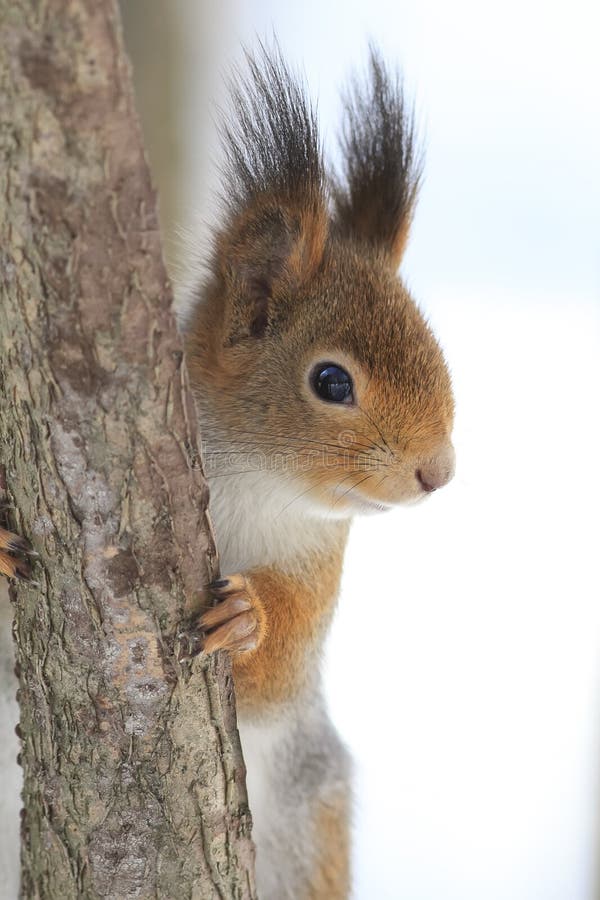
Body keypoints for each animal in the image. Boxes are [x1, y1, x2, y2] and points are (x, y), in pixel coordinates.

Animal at [1, 47, 454, 900]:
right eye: (331, 381)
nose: (437, 472)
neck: (250, 479)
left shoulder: (317, 567)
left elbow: (283, 670)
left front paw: (250, 620)